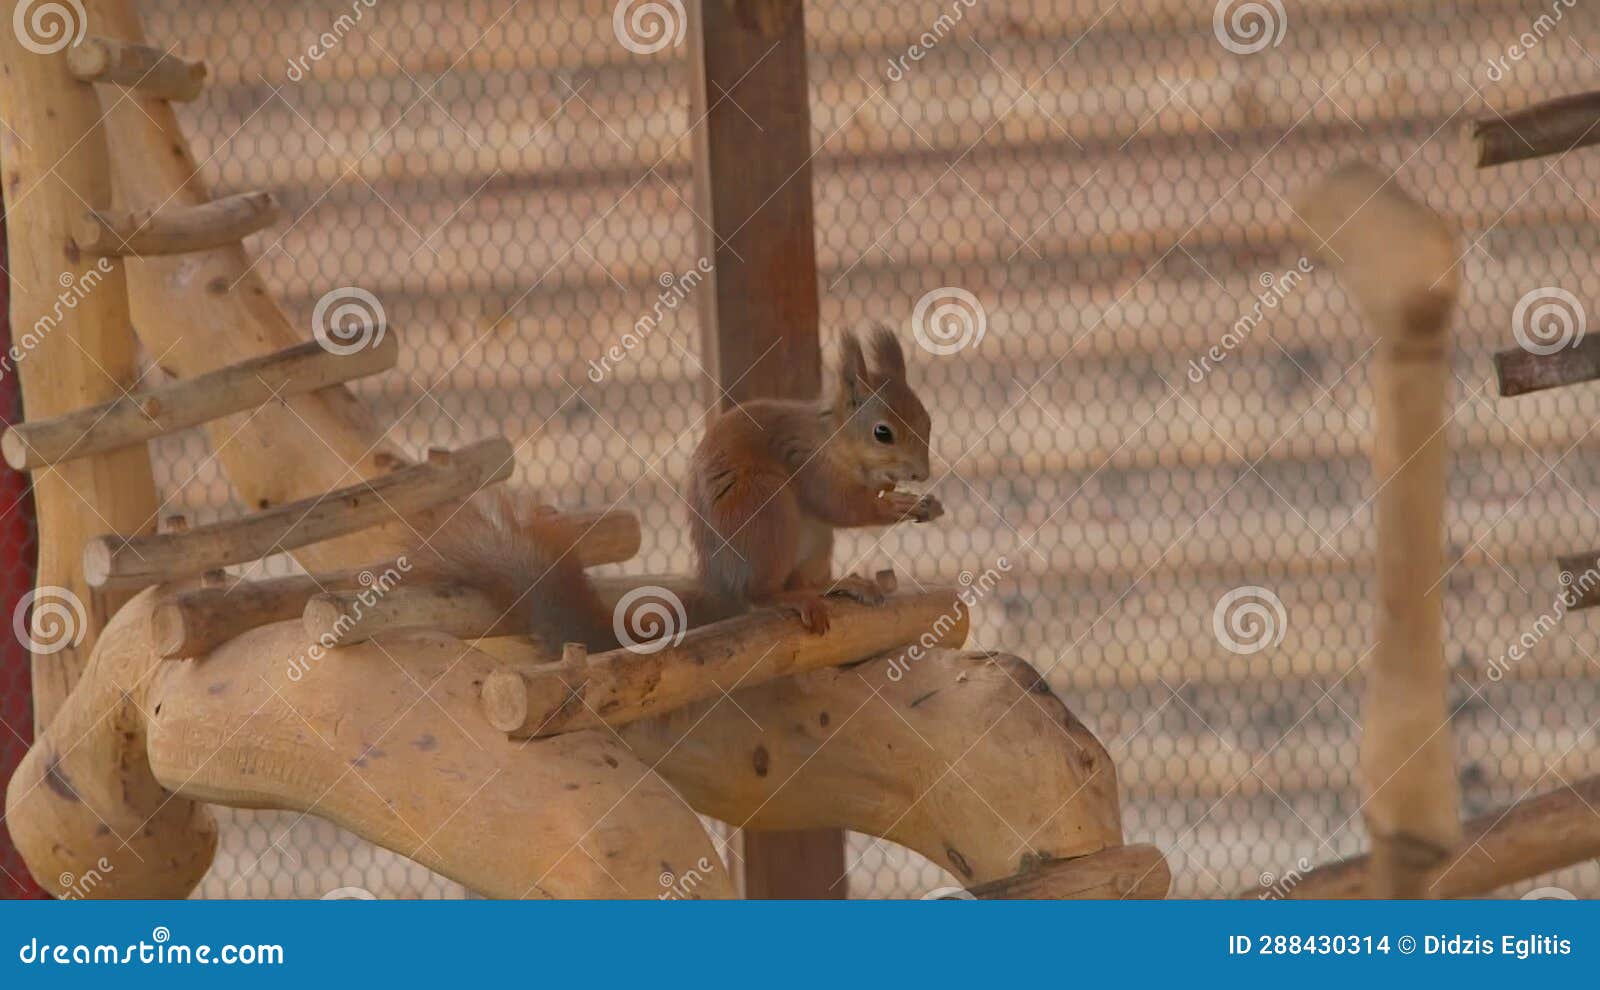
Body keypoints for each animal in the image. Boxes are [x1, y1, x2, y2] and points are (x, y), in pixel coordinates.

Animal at [412, 327, 942, 650]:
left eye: (927, 419)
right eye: (883, 432)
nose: (921, 472)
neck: (834, 438)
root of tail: (720, 584)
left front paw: (912, 497)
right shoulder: (805, 461)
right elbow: (840, 506)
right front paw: (899, 505)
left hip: (810, 544)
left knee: (799, 578)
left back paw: (840, 584)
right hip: (767, 508)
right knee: (761, 594)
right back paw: (789, 598)